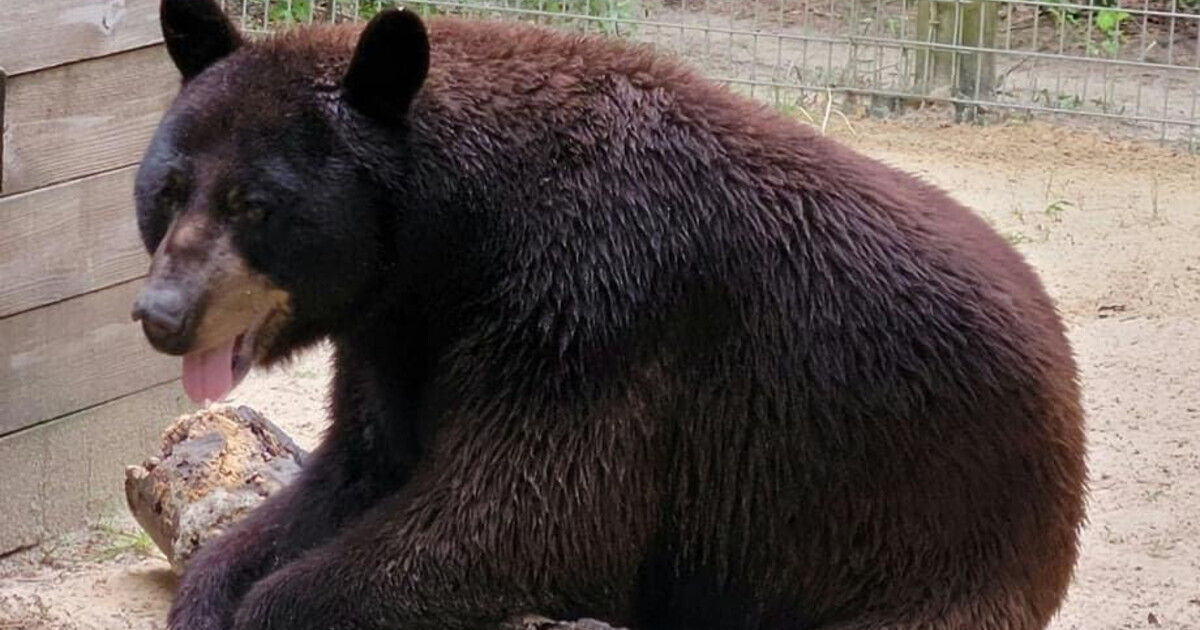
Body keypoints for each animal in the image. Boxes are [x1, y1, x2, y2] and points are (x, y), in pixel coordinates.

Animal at [130, 1, 1088, 629]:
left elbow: (522, 519)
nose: (160, 314)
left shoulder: (591, 308)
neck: (453, 241)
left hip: (941, 543)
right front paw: (213, 589)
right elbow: (354, 472)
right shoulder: (394, 333)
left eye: (256, 205)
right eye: (167, 190)